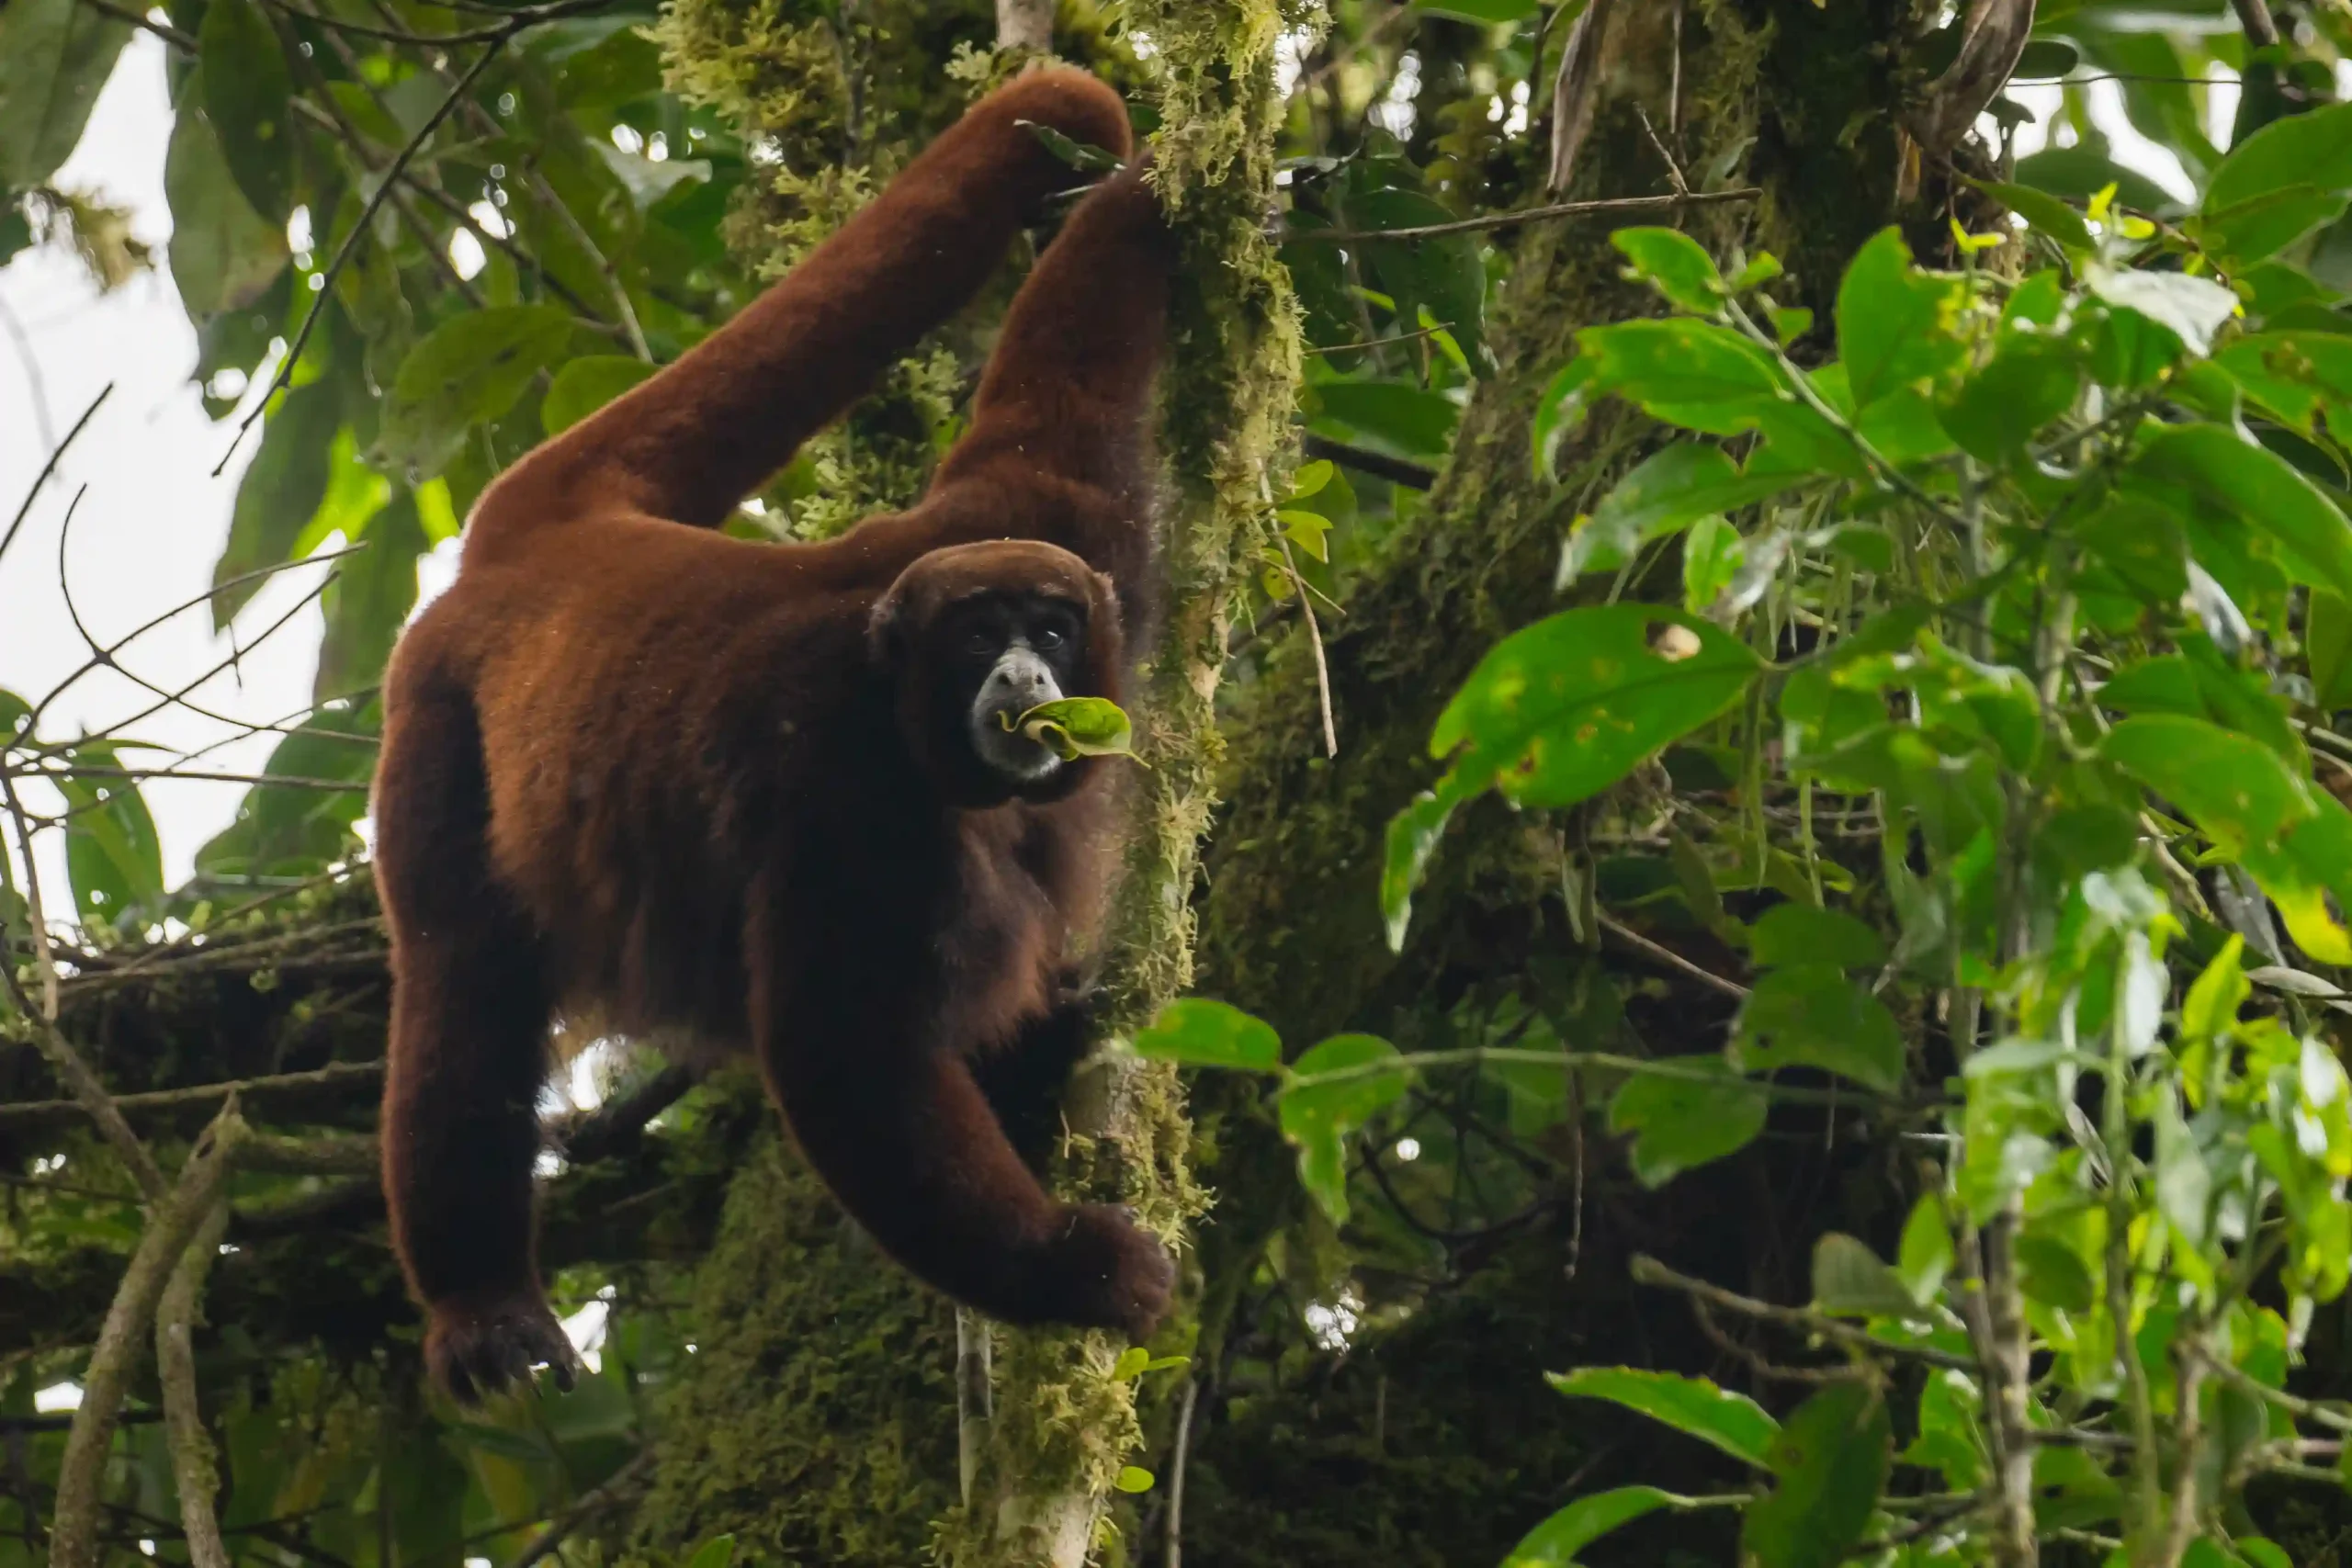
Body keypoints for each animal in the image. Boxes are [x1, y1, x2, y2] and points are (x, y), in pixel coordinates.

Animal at [370, 68, 1175, 1402]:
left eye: (1052, 629)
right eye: (979, 635)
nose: (1021, 673)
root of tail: (556, 543)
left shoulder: (1056, 525)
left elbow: (1059, 405)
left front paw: (1170, 177)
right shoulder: (845, 795)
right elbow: (841, 1054)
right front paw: (1072, 1266)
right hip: (431, 721)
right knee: (460, 979)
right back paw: (480, 1304)